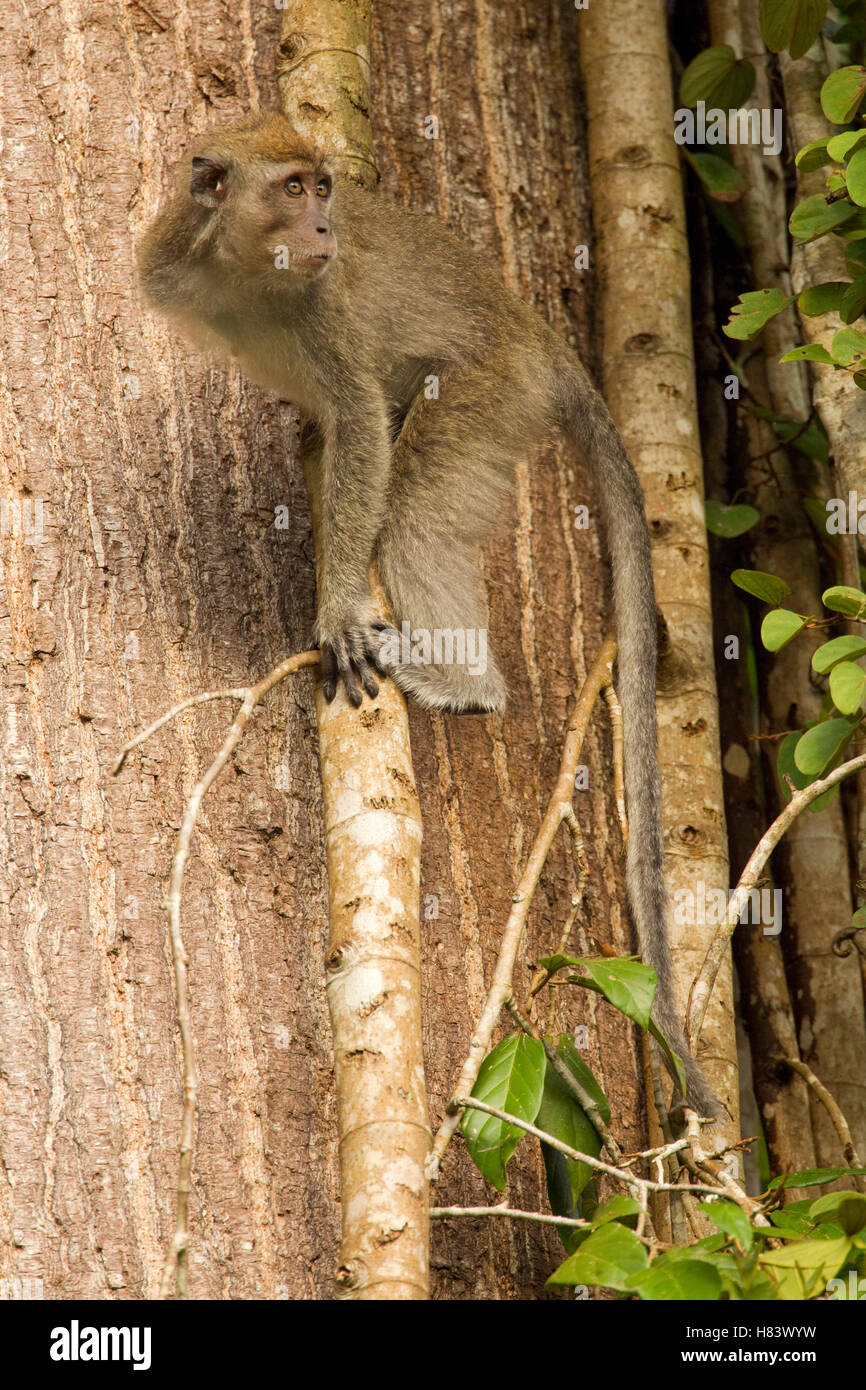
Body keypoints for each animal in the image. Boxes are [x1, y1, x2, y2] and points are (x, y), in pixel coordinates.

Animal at [137, 112, 722, 1120]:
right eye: (293, 187)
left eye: (321, 187)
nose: (323, 228)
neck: (241, 276)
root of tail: (539, 336)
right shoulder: (166, 256)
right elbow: (338, 428)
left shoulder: (325, 311)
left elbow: (363, 424)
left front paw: (337, 607)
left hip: (493, 389)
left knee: (416, 507)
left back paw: (460, 684)